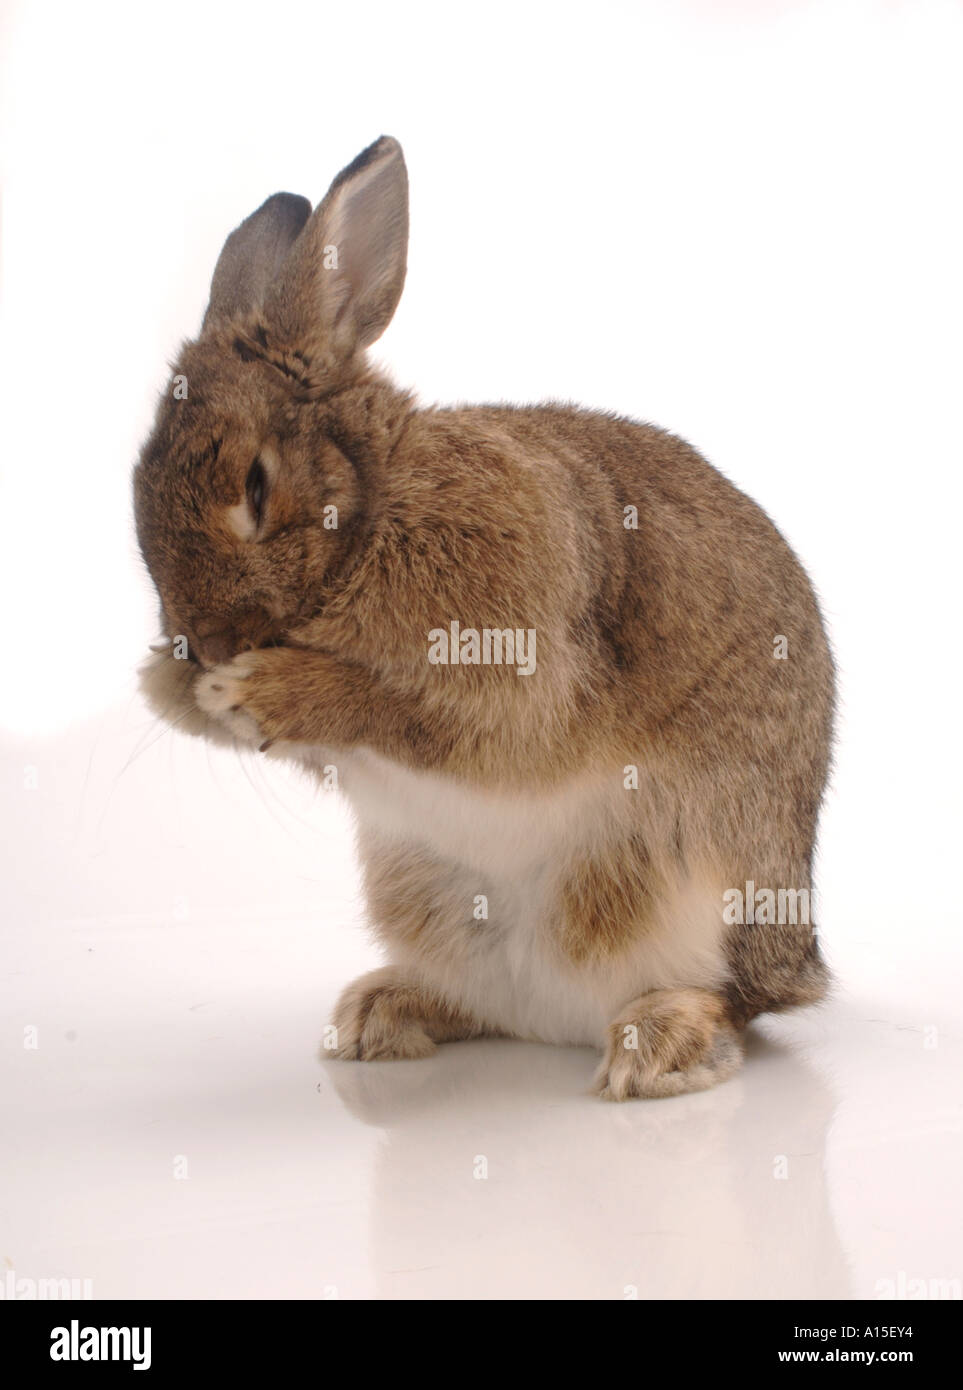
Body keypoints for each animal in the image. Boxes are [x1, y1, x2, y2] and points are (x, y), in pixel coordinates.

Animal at [134, 135, 835, 1100]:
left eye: (254, 484)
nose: (204, 641)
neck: (373, 513)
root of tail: (557, 1024)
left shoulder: (518, 672)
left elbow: (416, 717)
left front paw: (259, 689)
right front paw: (168, 687)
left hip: (701, 884)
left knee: (727, 999)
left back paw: (655, 1045)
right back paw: (380, 1015)